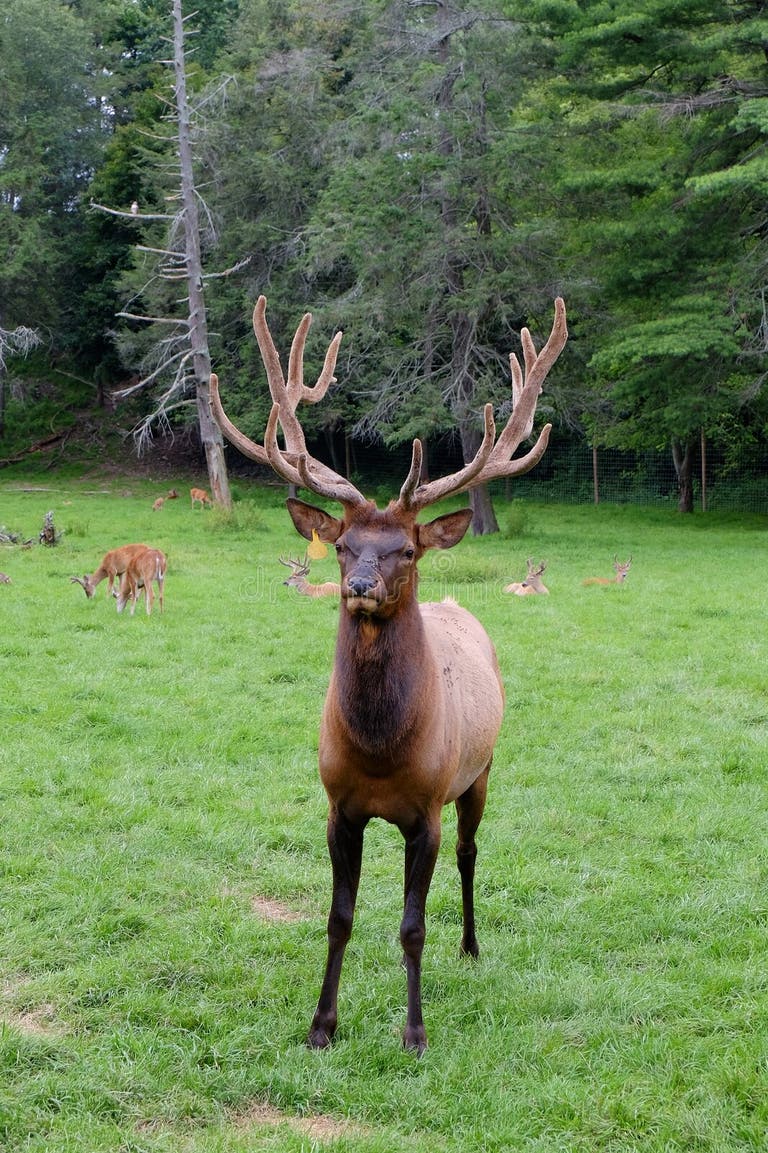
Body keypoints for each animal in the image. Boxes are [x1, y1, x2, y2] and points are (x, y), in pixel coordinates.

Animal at [209, 294, 567, 1054]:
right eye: (344, 544)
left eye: (405, 547)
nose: (361, 586)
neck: (379, 750)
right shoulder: (339, 806)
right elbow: (339, 918)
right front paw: (321, 1025)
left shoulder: (423, 809)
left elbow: (412, 925)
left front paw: (415, 1031)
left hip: (481, 771)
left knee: (469, 852)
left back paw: (471, 946)